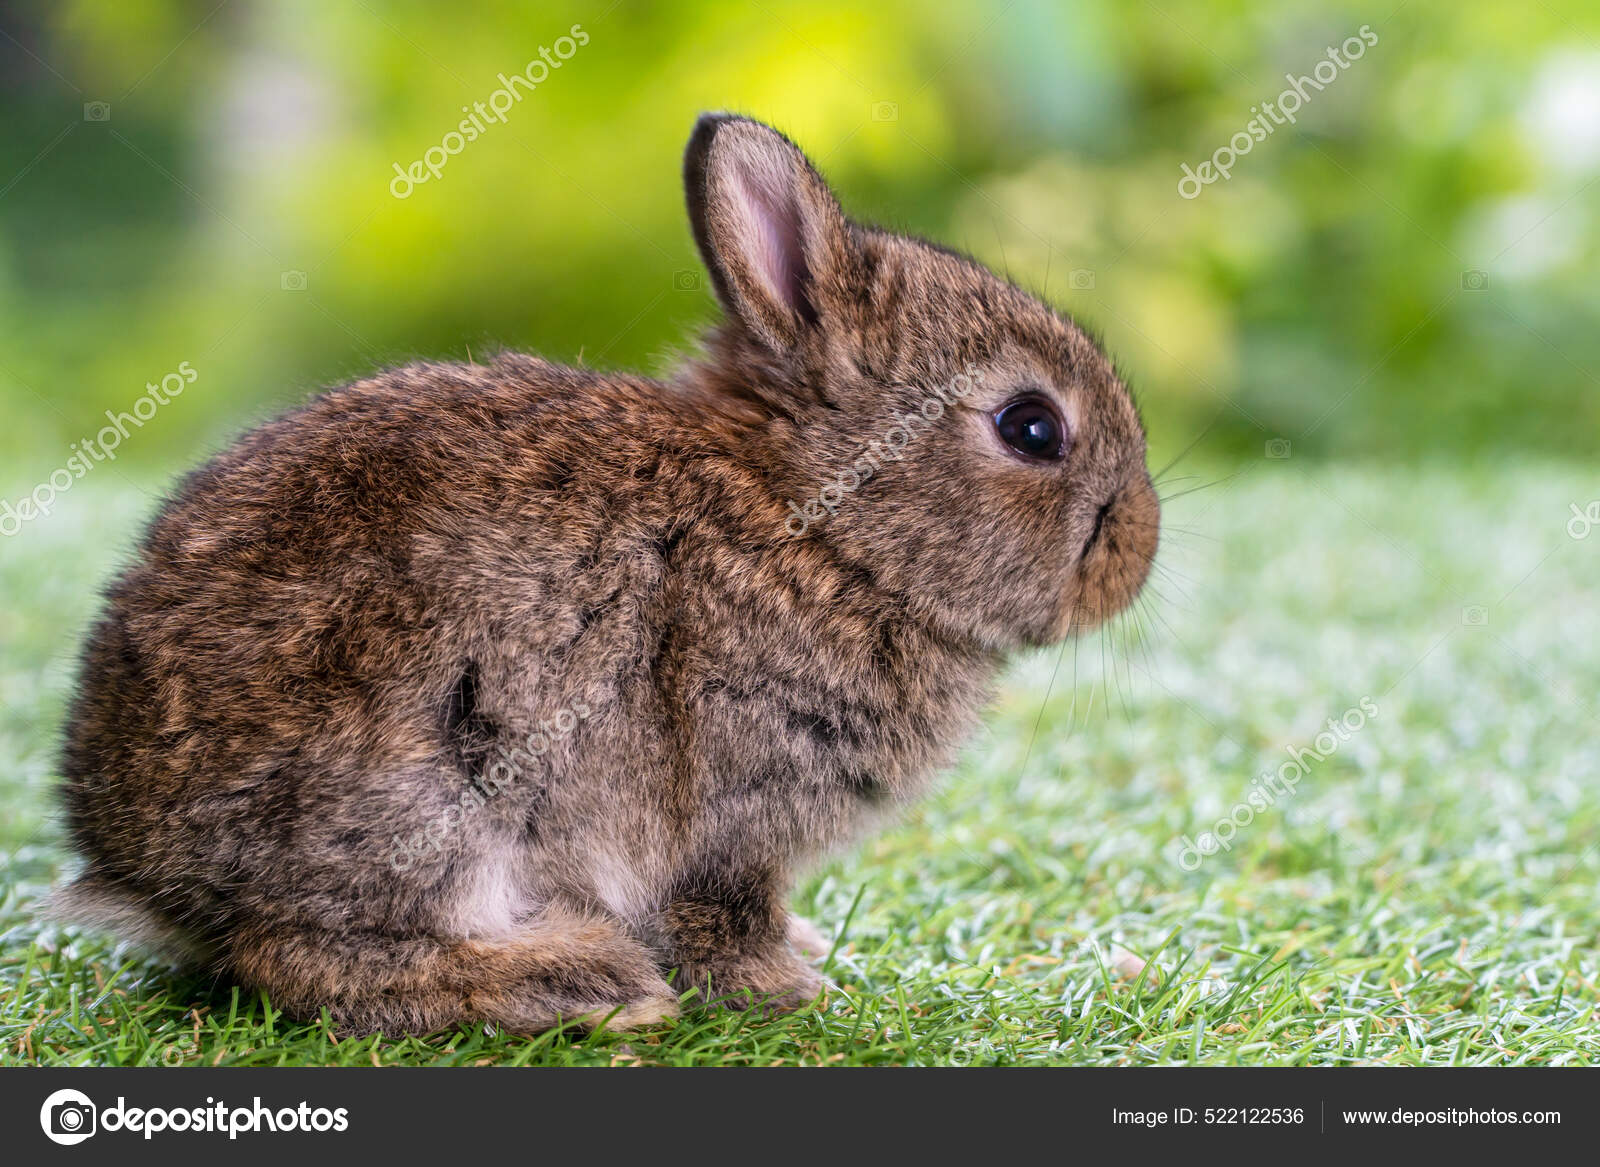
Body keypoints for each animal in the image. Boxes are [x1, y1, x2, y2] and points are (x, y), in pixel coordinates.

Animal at [51, 114, 1160, 1035]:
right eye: (1030, 427)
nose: (1140, 551)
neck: (821, 525)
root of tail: (137, 872)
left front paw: (803, 954)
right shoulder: (730, 815)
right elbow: (722, 910)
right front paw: (790, 987)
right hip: (429, 794)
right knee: (303, 960)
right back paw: (576, 979)